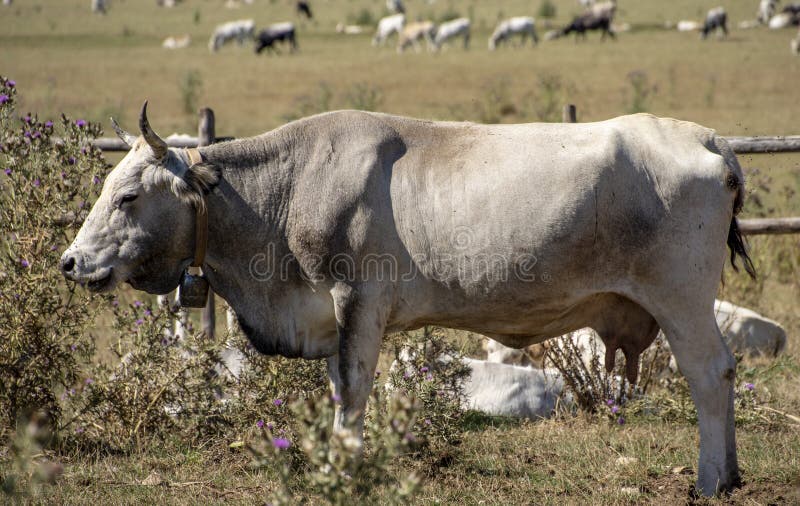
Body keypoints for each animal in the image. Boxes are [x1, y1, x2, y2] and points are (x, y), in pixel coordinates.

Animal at [62, 104, 754, 496]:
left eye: (128, 196)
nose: (70, 261)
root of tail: (709, 139)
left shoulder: (359, 301)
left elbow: (351, 390)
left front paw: (344, 469)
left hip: (681, 301)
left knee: (709, 374)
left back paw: (708, 480)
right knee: (722, 373)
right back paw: (731, 474)